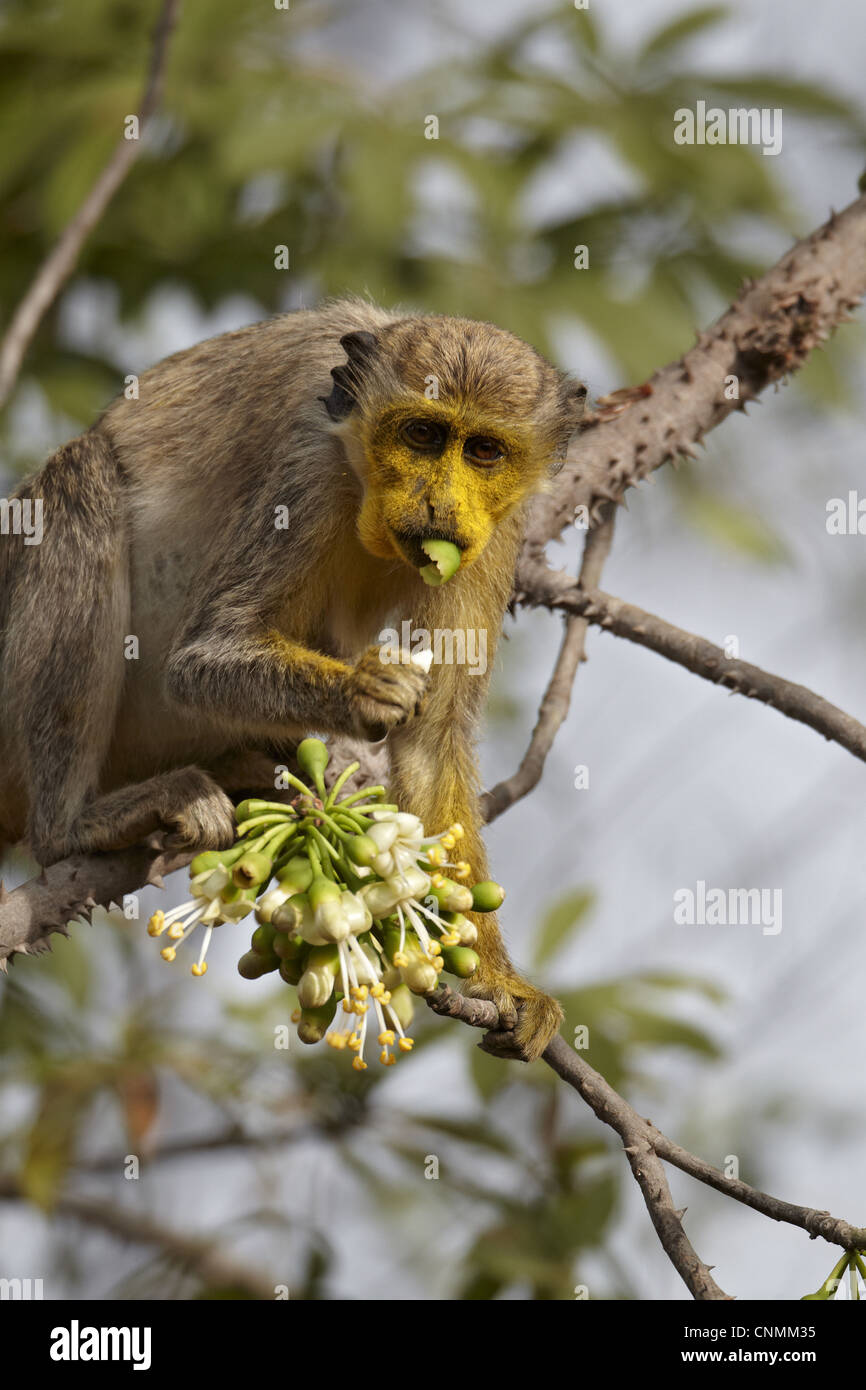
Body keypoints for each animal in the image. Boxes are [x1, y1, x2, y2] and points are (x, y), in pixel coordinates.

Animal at [0, 297, 585, 1061]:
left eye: (484, 451)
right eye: (423, 435)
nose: (437, 504)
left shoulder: (494, 533)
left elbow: (431, 739)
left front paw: (498, 983)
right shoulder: (307, 469)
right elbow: (202, 659)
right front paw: (361, 692)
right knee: (81, 476)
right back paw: (74, 826)